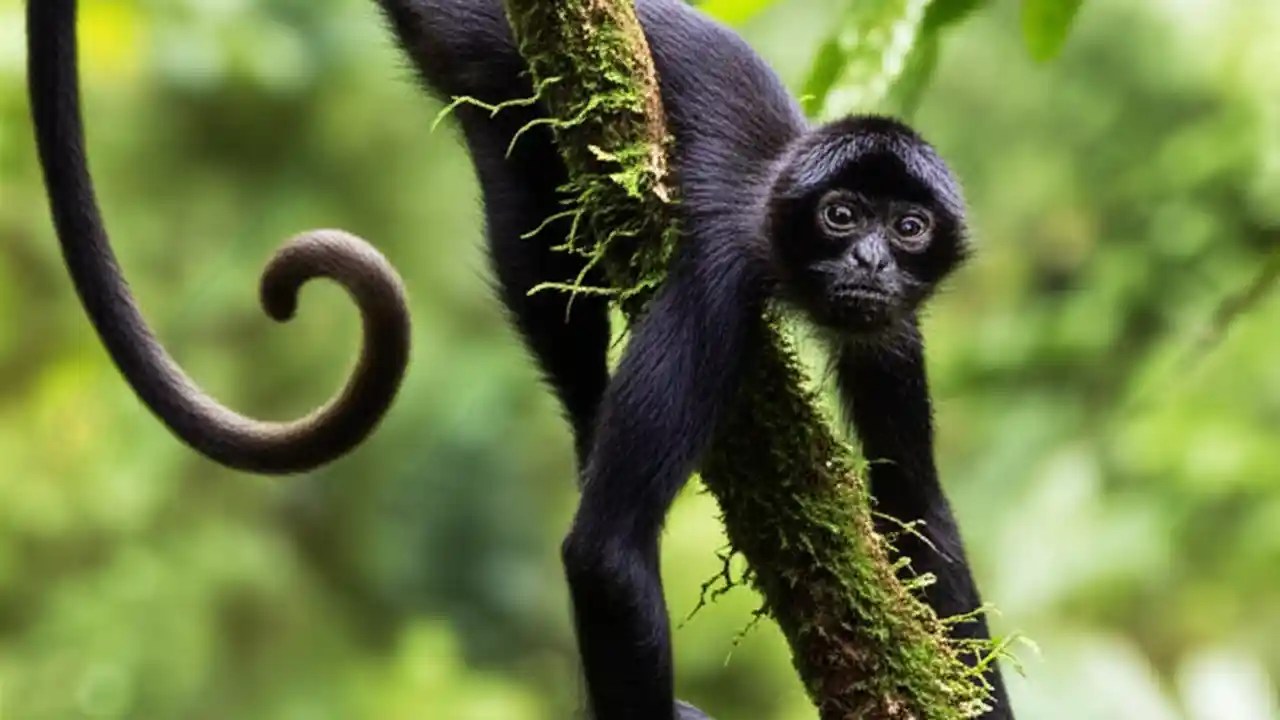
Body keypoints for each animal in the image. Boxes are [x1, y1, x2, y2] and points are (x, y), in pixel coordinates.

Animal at [26, 0, 1011, 718]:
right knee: (550, 281)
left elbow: (917, 508)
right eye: (842, 215)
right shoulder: (720, 279)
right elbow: (606, 552)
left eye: (907, 227)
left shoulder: (893, 326)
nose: (870, 260)